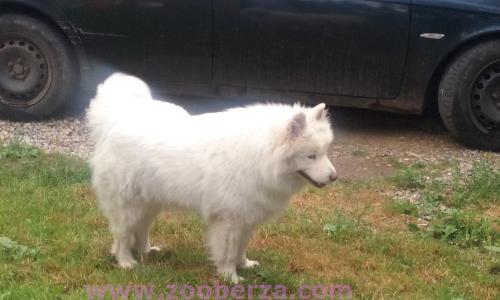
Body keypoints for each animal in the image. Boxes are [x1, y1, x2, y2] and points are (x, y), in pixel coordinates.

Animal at [88, 73, 338, 284]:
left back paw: (147, 252)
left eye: (325, 152)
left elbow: (240, 248)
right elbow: (227, 253)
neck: (259, 155)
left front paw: (244, 264)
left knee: (141, 229)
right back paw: (126, 262)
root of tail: (116, 118)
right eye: (311, 156)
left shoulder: (245, 219)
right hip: (128, 206)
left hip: (149, 203)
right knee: (122, 235)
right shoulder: (228, 220)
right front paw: (231, 277)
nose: (334, 177)